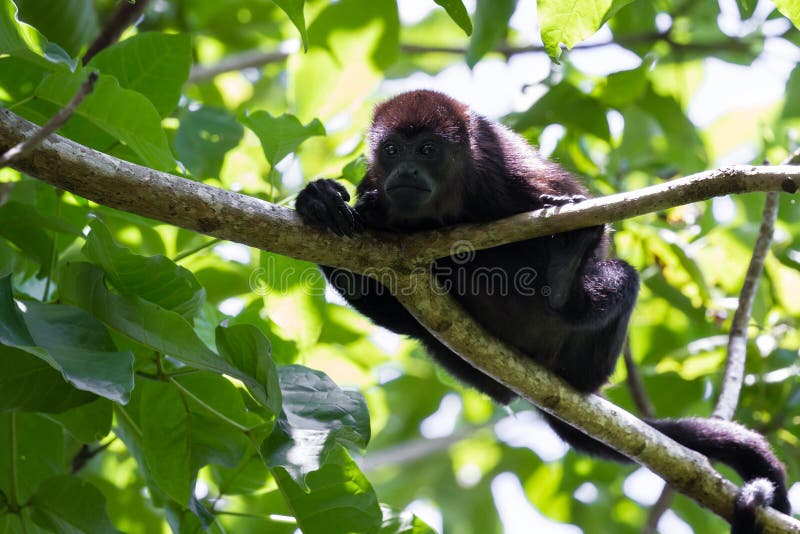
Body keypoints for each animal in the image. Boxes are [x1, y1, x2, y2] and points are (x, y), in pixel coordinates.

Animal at [294, 90, 791, 533]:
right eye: (392, 150)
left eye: (428, 150)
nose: (406, 169)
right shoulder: (372, 185)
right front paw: (318, 200)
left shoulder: (504, 169)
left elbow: (579, 224)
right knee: (414, 327)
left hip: (592, 363)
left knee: (621, 277)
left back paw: (565, 279)